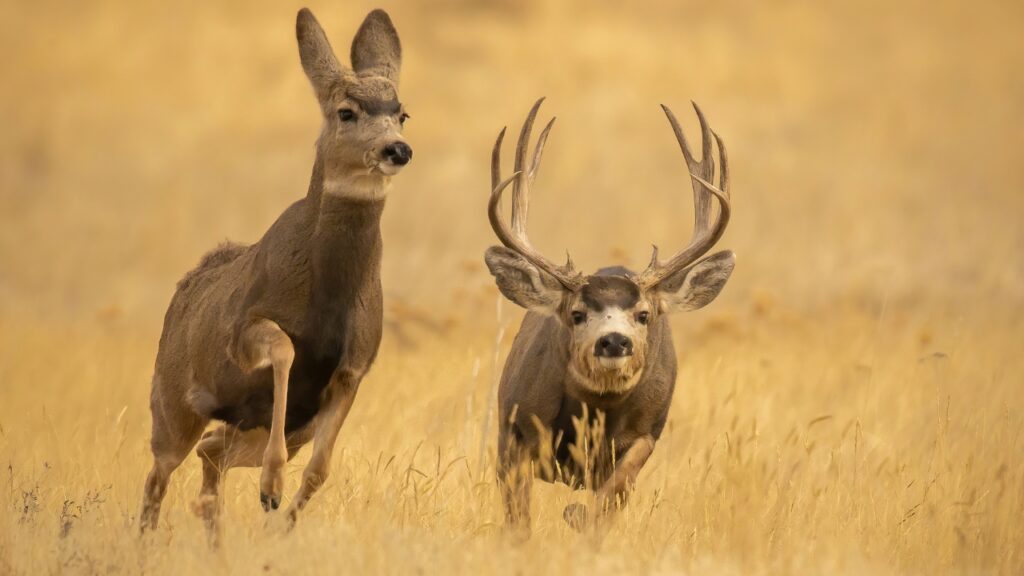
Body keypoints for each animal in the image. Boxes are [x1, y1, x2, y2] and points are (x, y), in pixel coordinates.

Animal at [139, 8, 412, 536]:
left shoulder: (355, 365)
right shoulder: (243, 330)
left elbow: (321, 469)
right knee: (159, 472)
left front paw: (282, 519)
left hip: (267, 422)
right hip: (173, 401)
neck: (328, 293)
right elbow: (284, 347)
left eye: (402, 112)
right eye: (346, 111)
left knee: (211, 454)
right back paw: (143, 544)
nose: (397, 149)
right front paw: (271, 487)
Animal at [484, 98, 735, 532]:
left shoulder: (646, 434)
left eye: (644, 314)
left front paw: (577, 517)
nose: (614, 341)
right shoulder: (513, 432)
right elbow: (518, 517)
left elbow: (610, 498)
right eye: (577, 313)